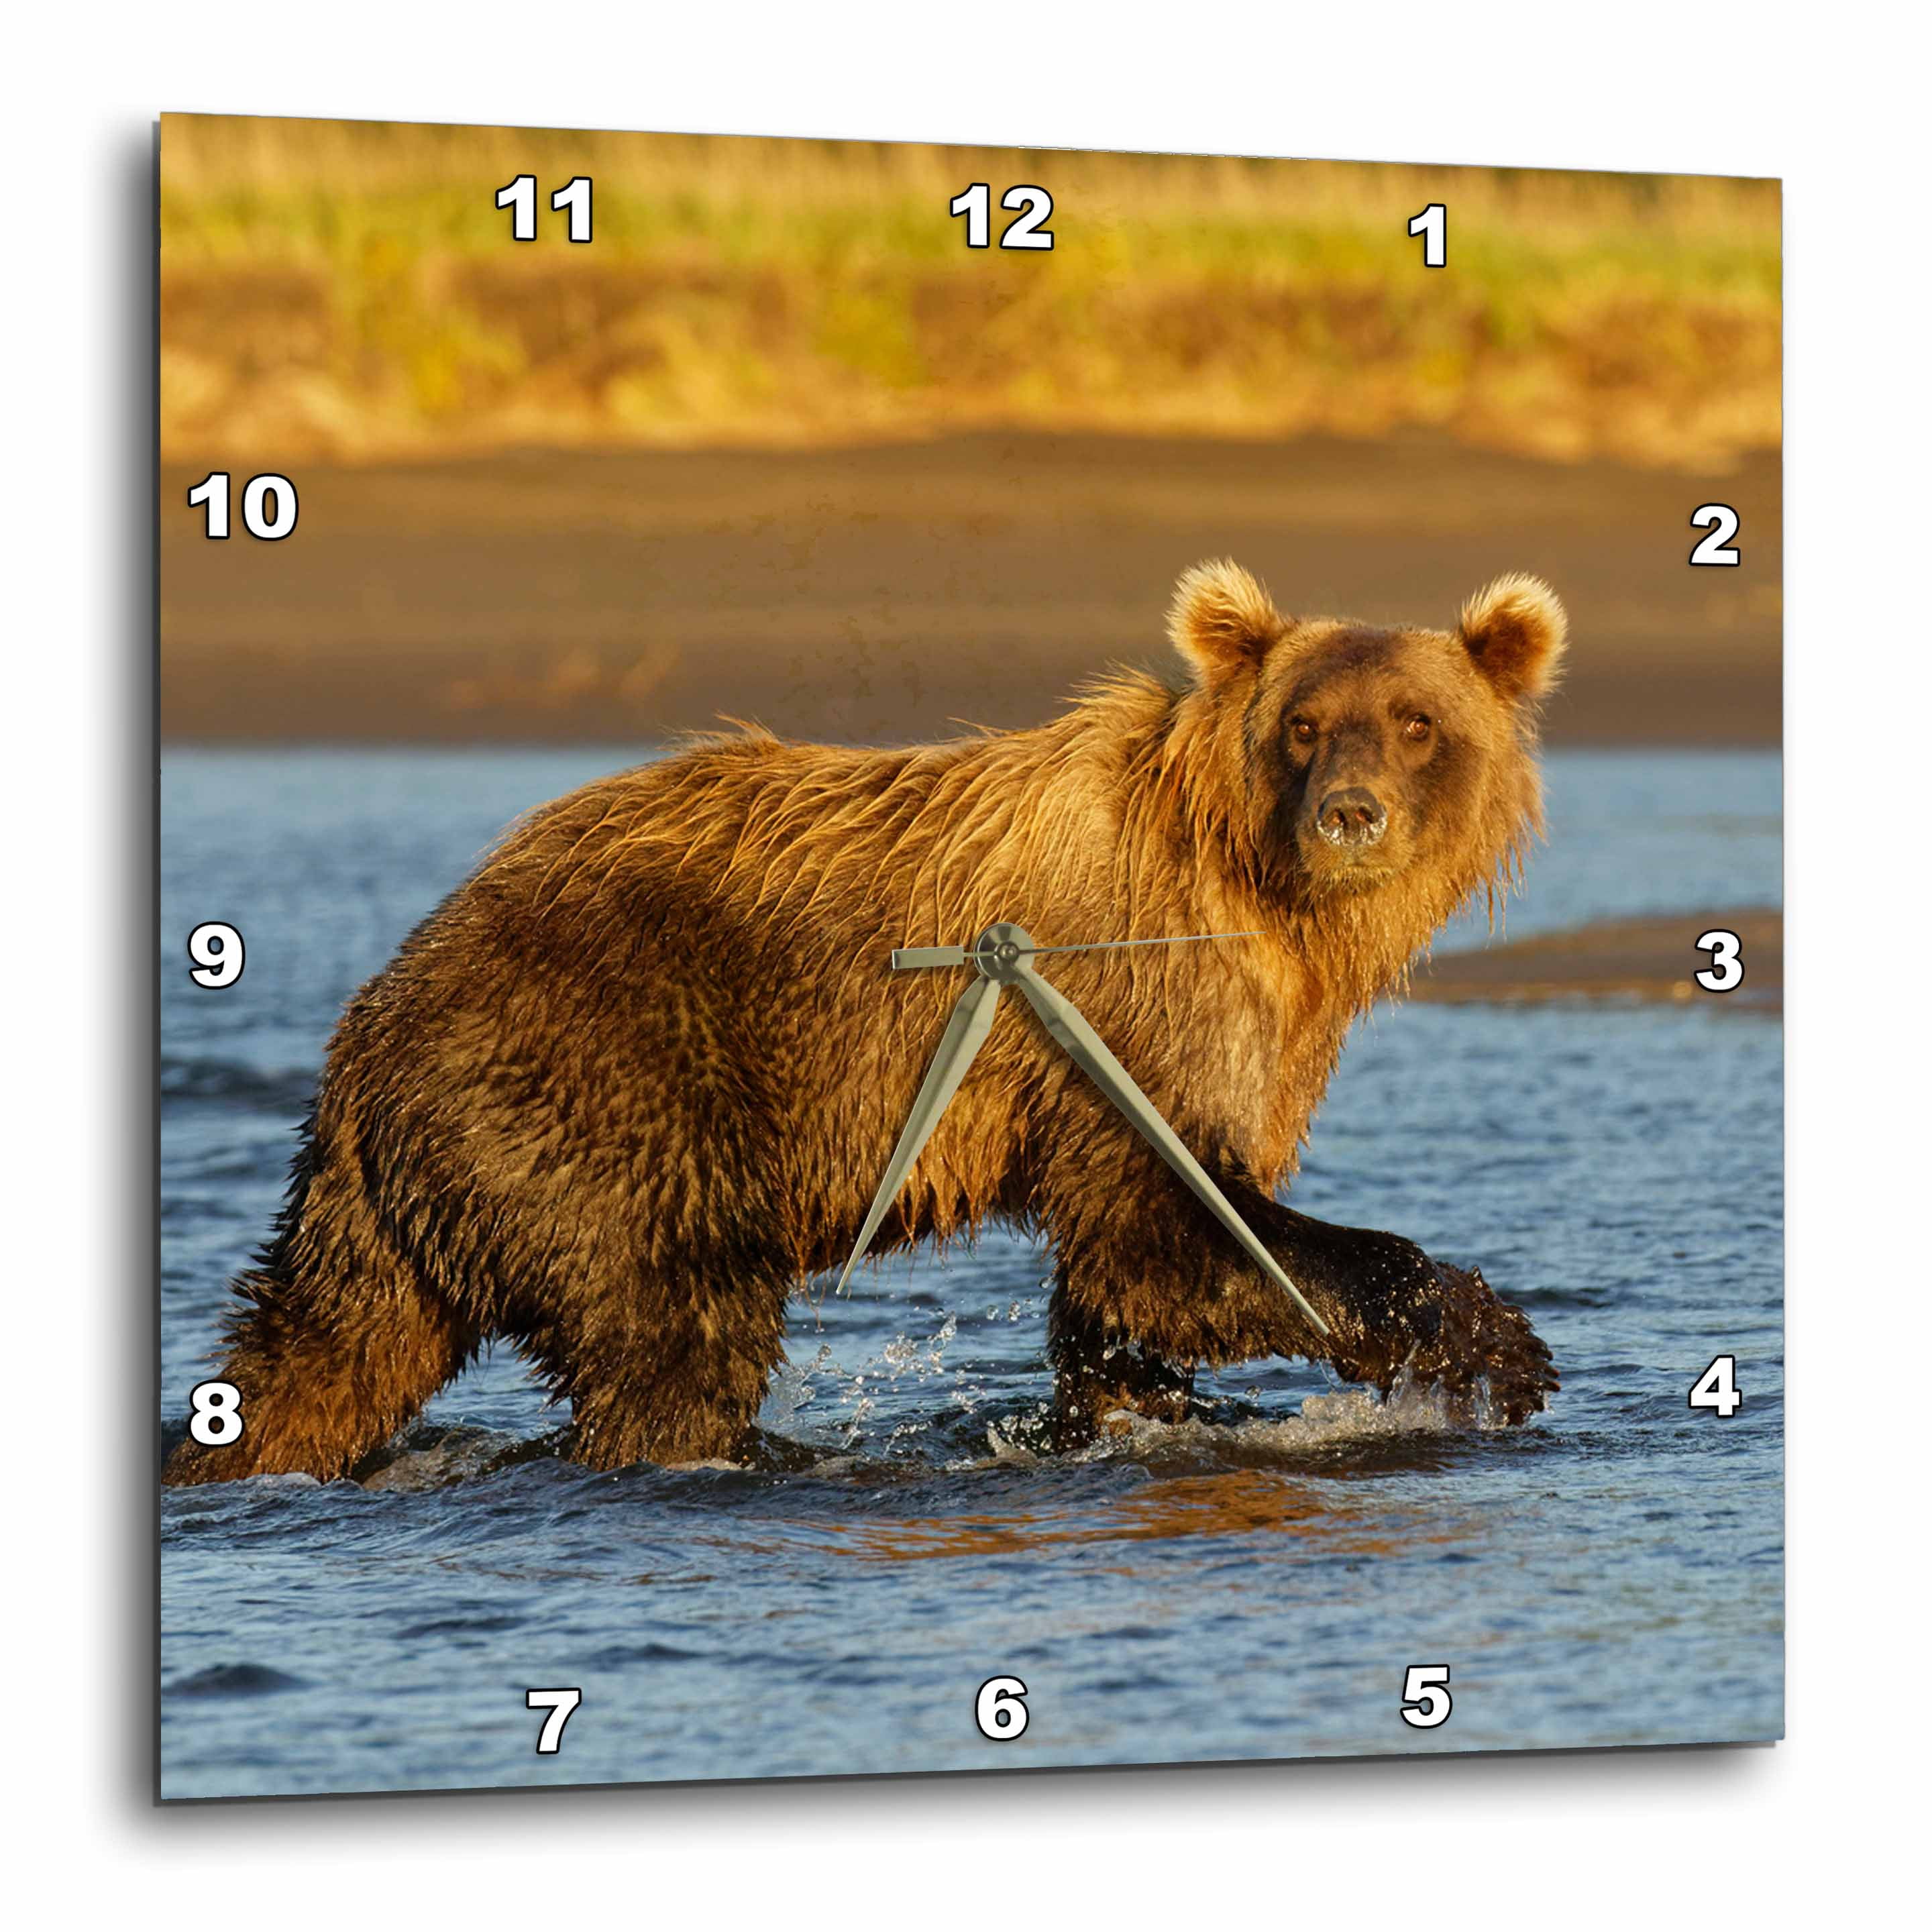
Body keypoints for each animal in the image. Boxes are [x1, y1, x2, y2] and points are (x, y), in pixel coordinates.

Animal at [164, 560, 1562, 1485]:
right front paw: (1498, 1349)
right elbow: (1168, 1238)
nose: (1350, 814)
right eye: (1306, 725)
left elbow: (1122, 1285)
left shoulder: (1245, 1042)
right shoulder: (1137, 1011)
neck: (1269, 907)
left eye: (1418, 723)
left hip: (406, 1207)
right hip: (607, 1087)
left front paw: (1121, 1409)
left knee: (333, 1347)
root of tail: (369, 1036)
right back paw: (719, 1454)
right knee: (673, 1334)